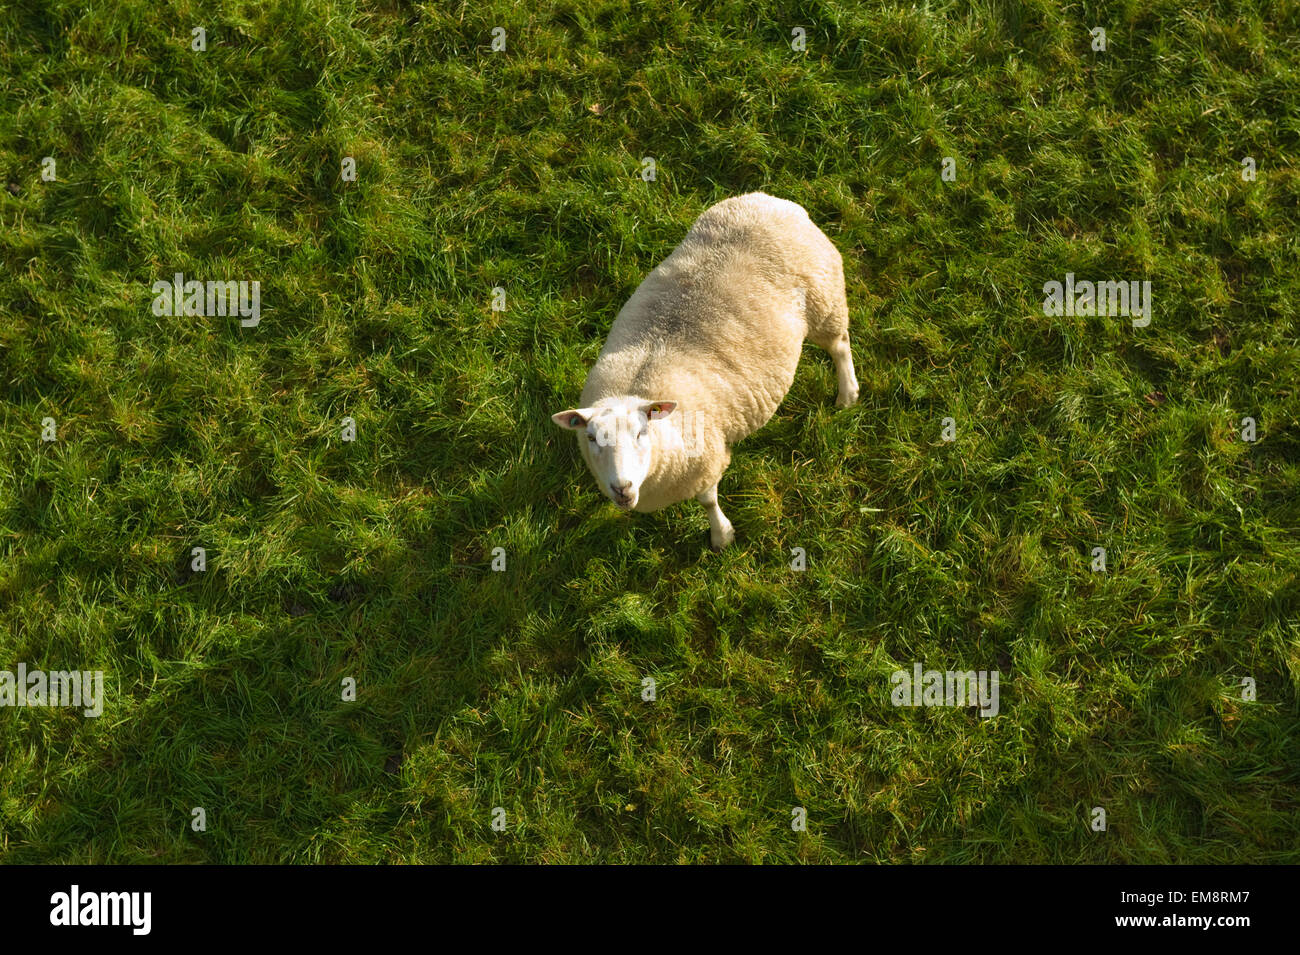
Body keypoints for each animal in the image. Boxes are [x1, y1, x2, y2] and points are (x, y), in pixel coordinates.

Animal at [551, 192, 858, 549]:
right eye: (591, 438)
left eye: (642, 433)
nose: (622, 488)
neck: (635, 388)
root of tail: (772, 201)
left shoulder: (705, 461)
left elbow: (708, 501)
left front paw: (721, 535)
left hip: (825, 299)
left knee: (839, 346)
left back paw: (847, 393)